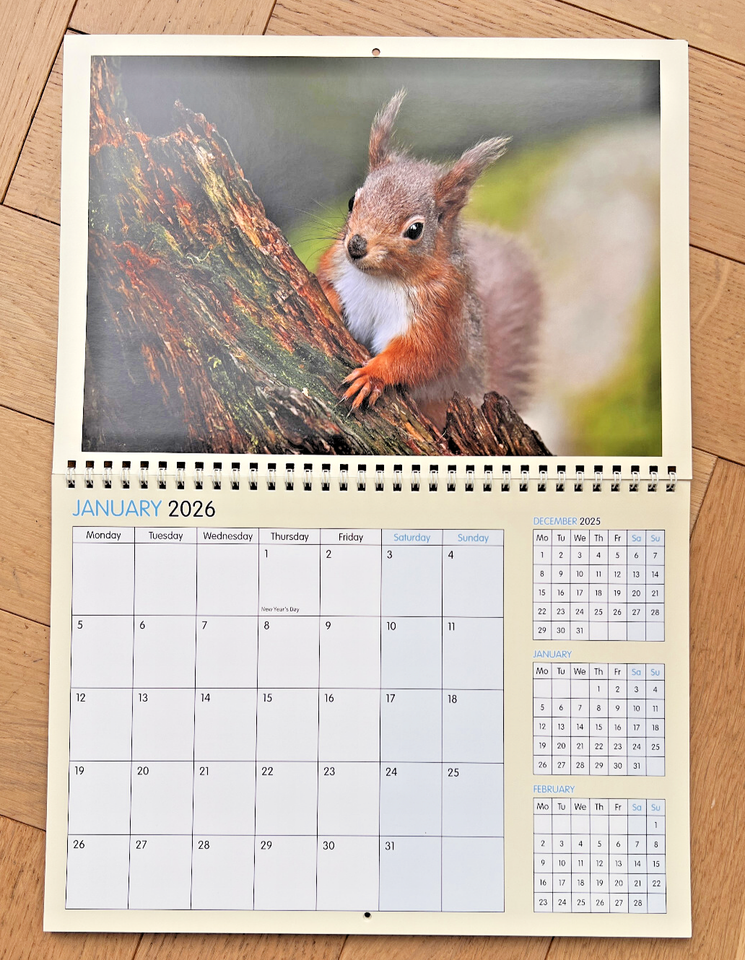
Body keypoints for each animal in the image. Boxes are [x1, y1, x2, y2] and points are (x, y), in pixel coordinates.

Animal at [316, 90, 542, 425]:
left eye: (415, 229)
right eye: (351, 200)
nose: (356, 245)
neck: (381, 279)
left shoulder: (440, 313)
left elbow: (420, 355)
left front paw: (373, 375)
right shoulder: (335, 264)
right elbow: (324, 283)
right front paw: (328, 298)